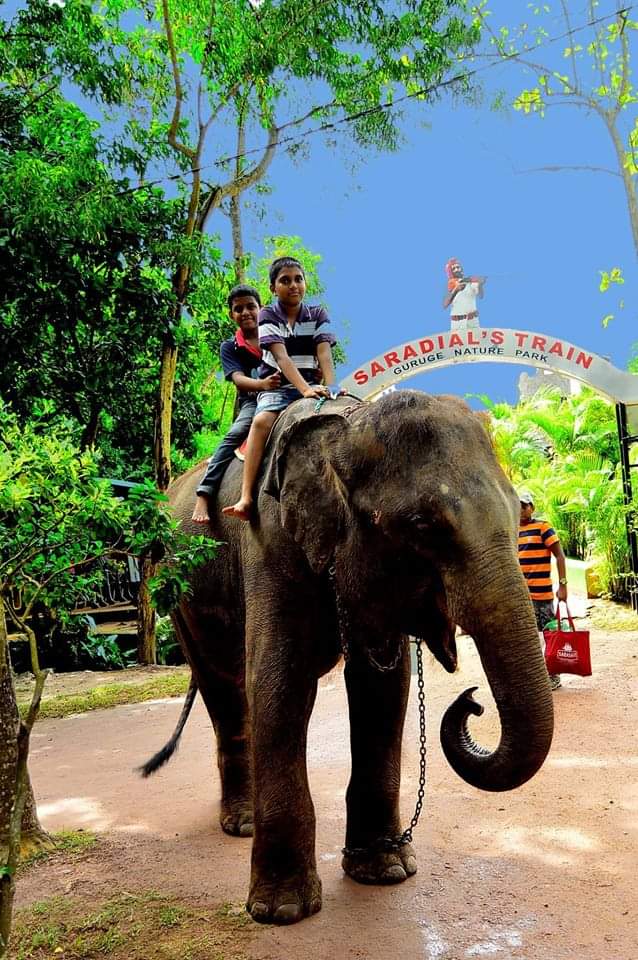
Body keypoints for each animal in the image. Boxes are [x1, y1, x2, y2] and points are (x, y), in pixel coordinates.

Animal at [142, 390, 554, 925]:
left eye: (516, 514)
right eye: (422, 525)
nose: (471, 700)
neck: (346, 427)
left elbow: (383, 687)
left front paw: (387, 871)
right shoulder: (269, 542)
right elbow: (278, 682)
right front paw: (282, 911)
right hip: (175, 592)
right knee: (223, 688)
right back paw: (242, 823)